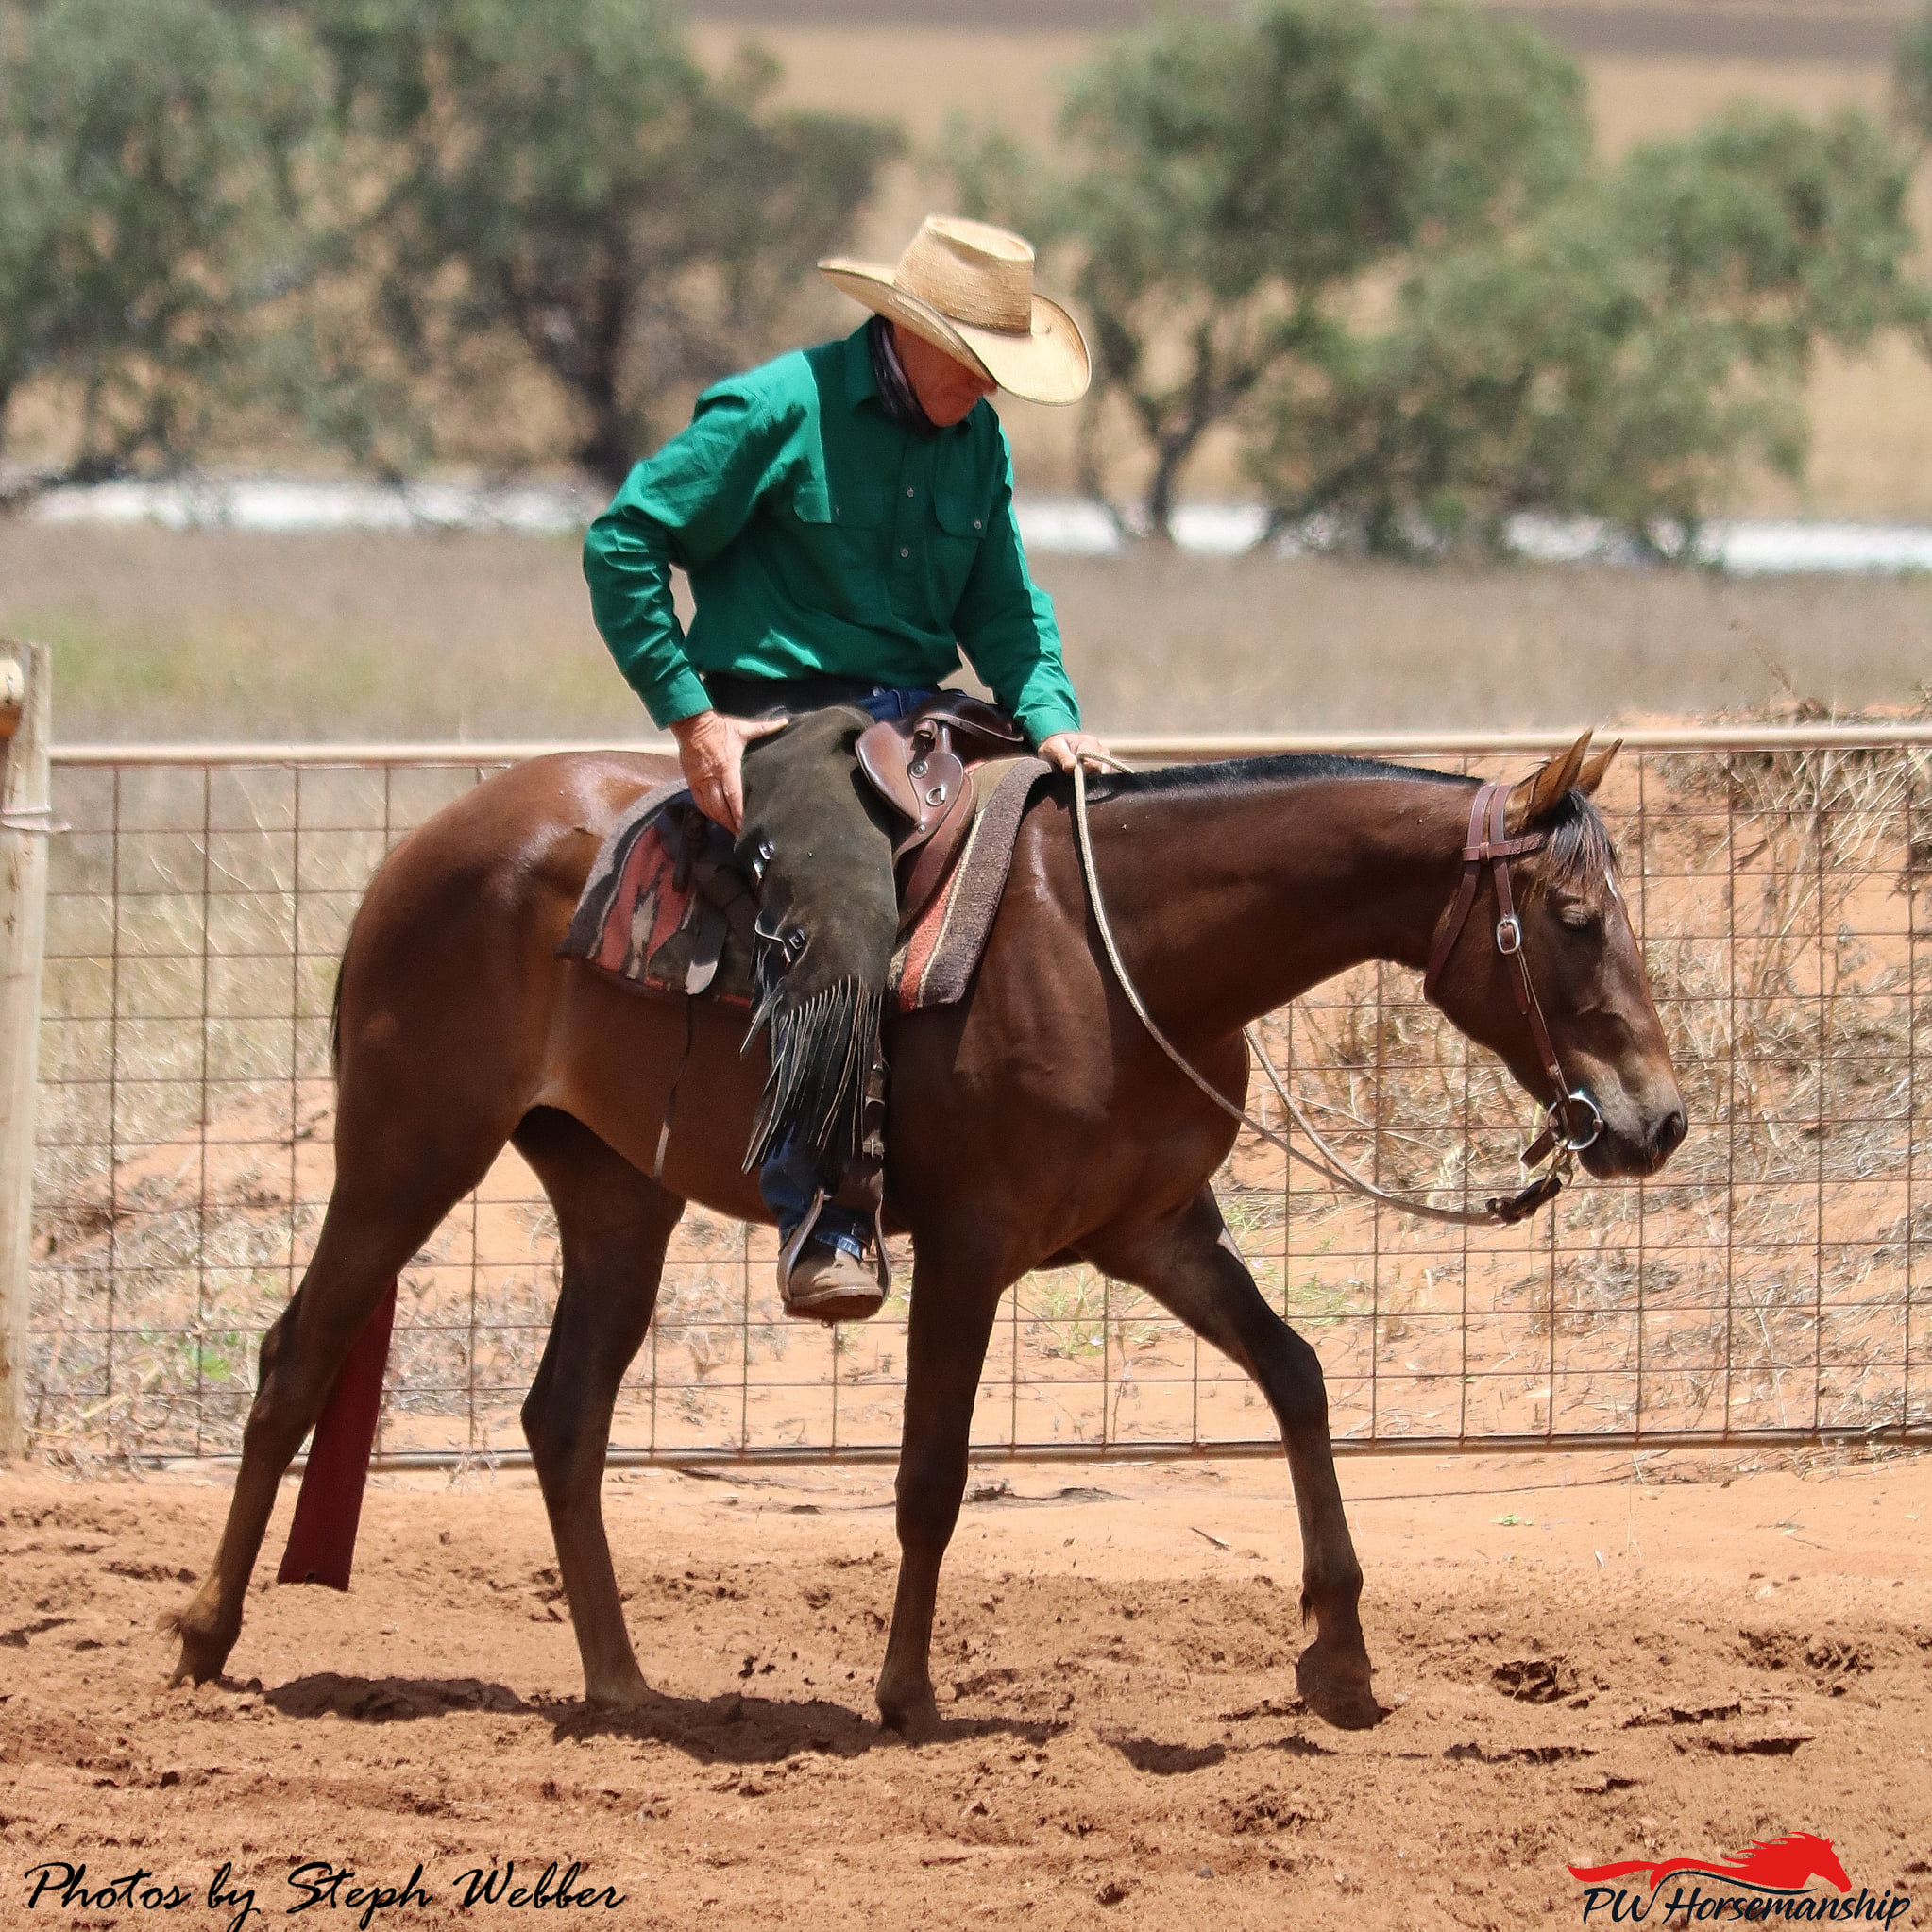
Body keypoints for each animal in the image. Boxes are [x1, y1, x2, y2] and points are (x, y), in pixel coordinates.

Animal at [165, 729, 1685, 1735]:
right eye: (1568, 915)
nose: (1655, 1120)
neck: (1123, 950)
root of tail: (422, 847)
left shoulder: (1158, 1233)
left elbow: (1299, 1377)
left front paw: (1342, 1660)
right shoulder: (970, 1248)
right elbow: (932, 1476)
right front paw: (904, 1692)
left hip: (613, 1196)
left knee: (563, 1415)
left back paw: (623, 1684)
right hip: (405, 1152)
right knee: (294, 1360)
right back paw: (203, 1637)